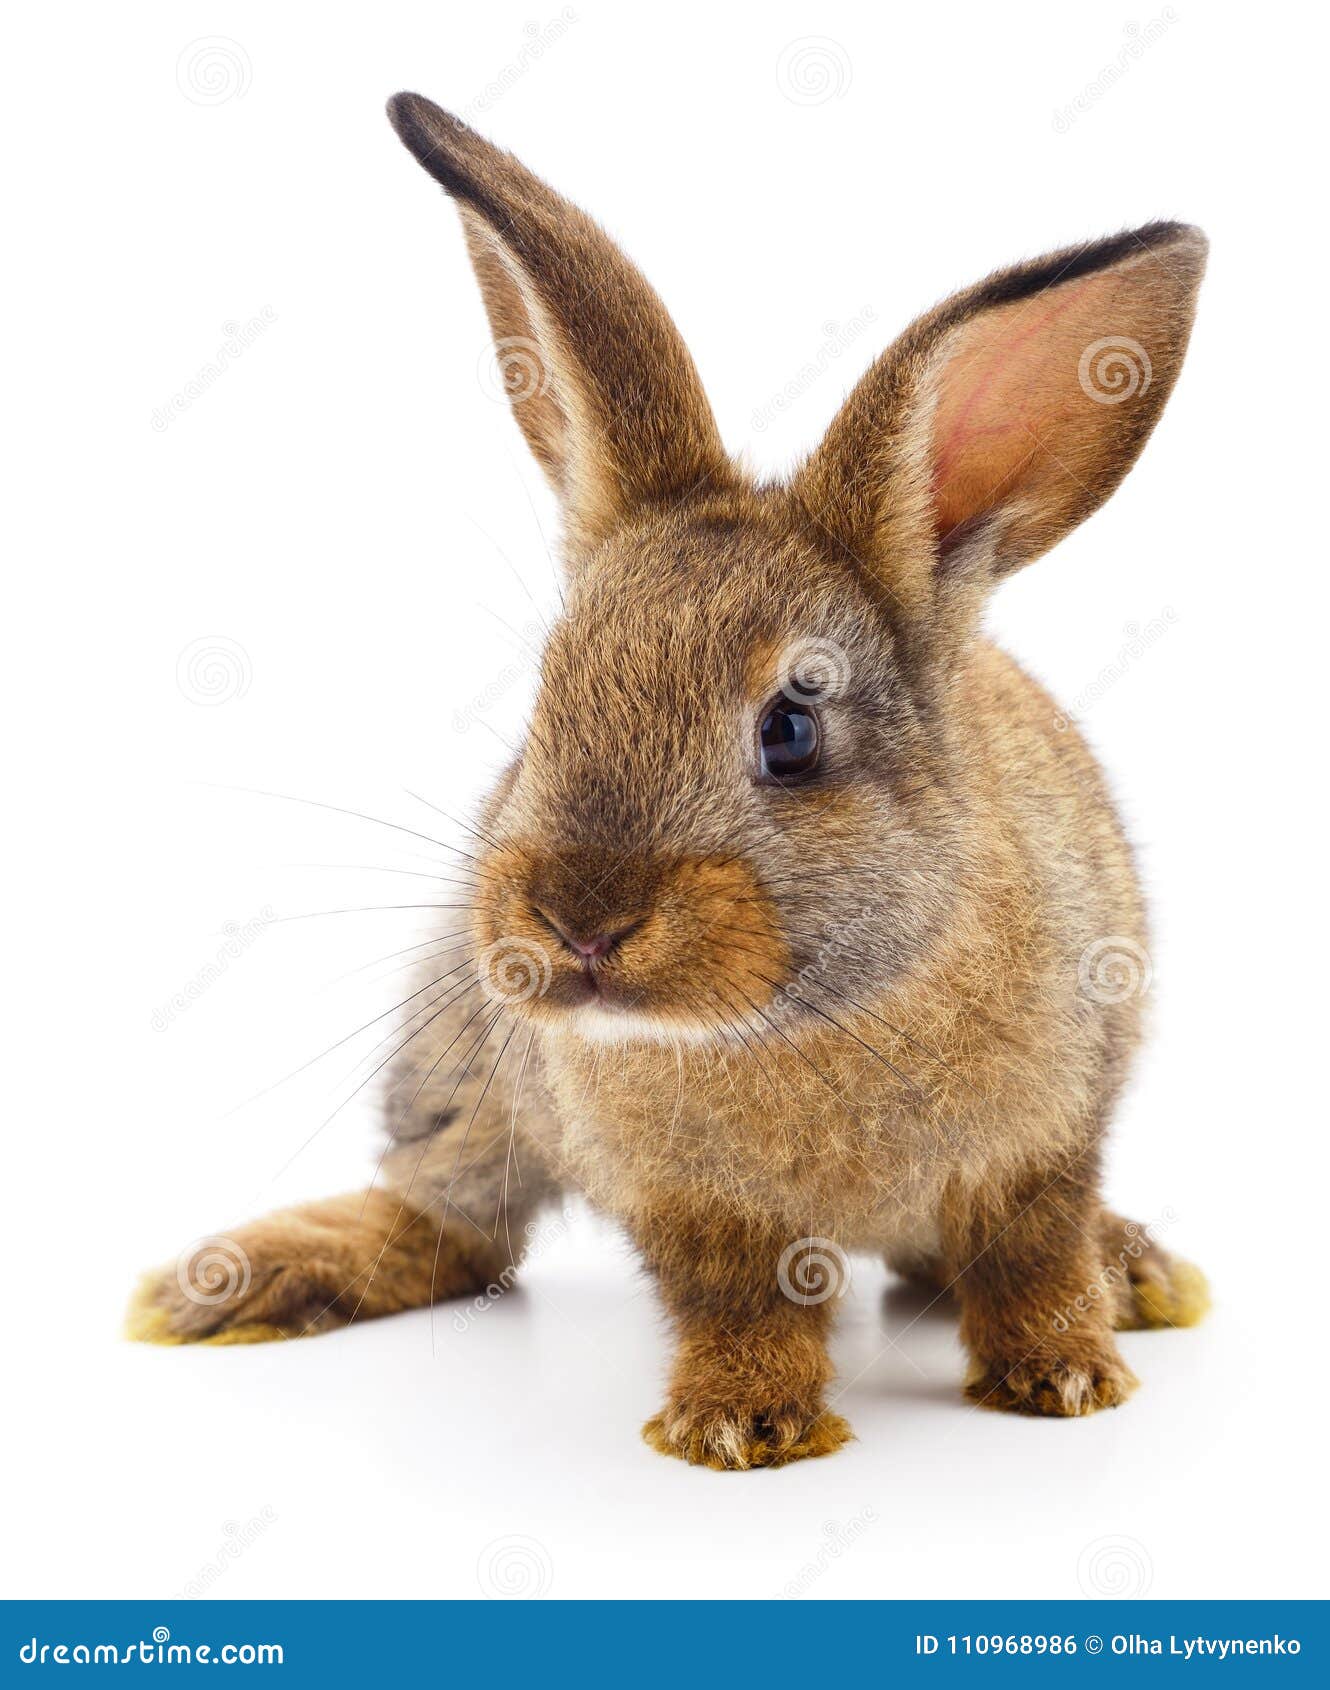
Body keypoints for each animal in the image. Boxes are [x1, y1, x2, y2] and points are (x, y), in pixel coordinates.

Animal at [128, 92, 1211, 1469]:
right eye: (545, 703)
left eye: (791, 730)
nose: (578, 922)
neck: (805, 1014)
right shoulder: (690, 1207)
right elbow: (733, 1294)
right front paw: (738, 1423)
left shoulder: (1048, 1144)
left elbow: (1032, 1260)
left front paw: (1067, 1378)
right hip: (463, 1062)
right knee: (451, 1220)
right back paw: (235, 1283)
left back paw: (1139, 1276)